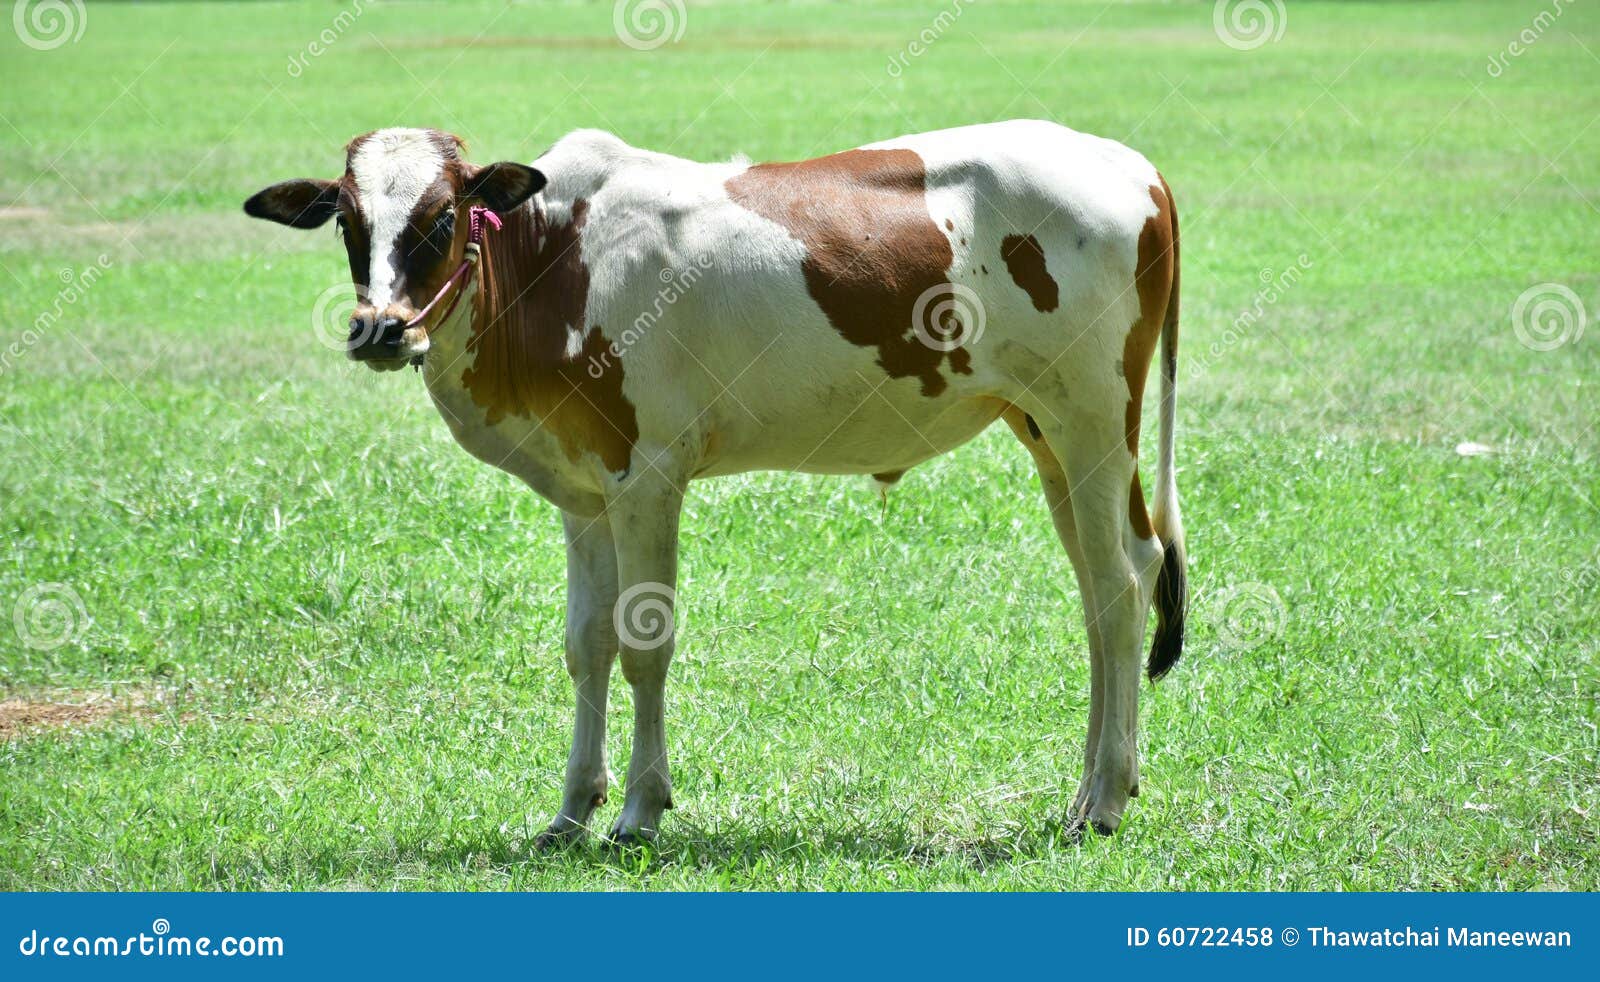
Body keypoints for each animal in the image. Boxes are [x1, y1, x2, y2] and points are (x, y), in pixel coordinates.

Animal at [243, 119, 1187, 846]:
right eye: (348, 223)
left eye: (441, 219)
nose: (379, 329)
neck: (554, 260)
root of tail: (1132, 164)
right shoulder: (585, 494)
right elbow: (587, 644)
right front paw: (570, 812)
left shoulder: (649, 478)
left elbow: (643, 646)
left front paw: (637, 813)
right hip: (1046, 435)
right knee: (1105, 590)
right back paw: (1092, 788)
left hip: (1094, 422)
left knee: (1119, 585)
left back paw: (1104, 800)